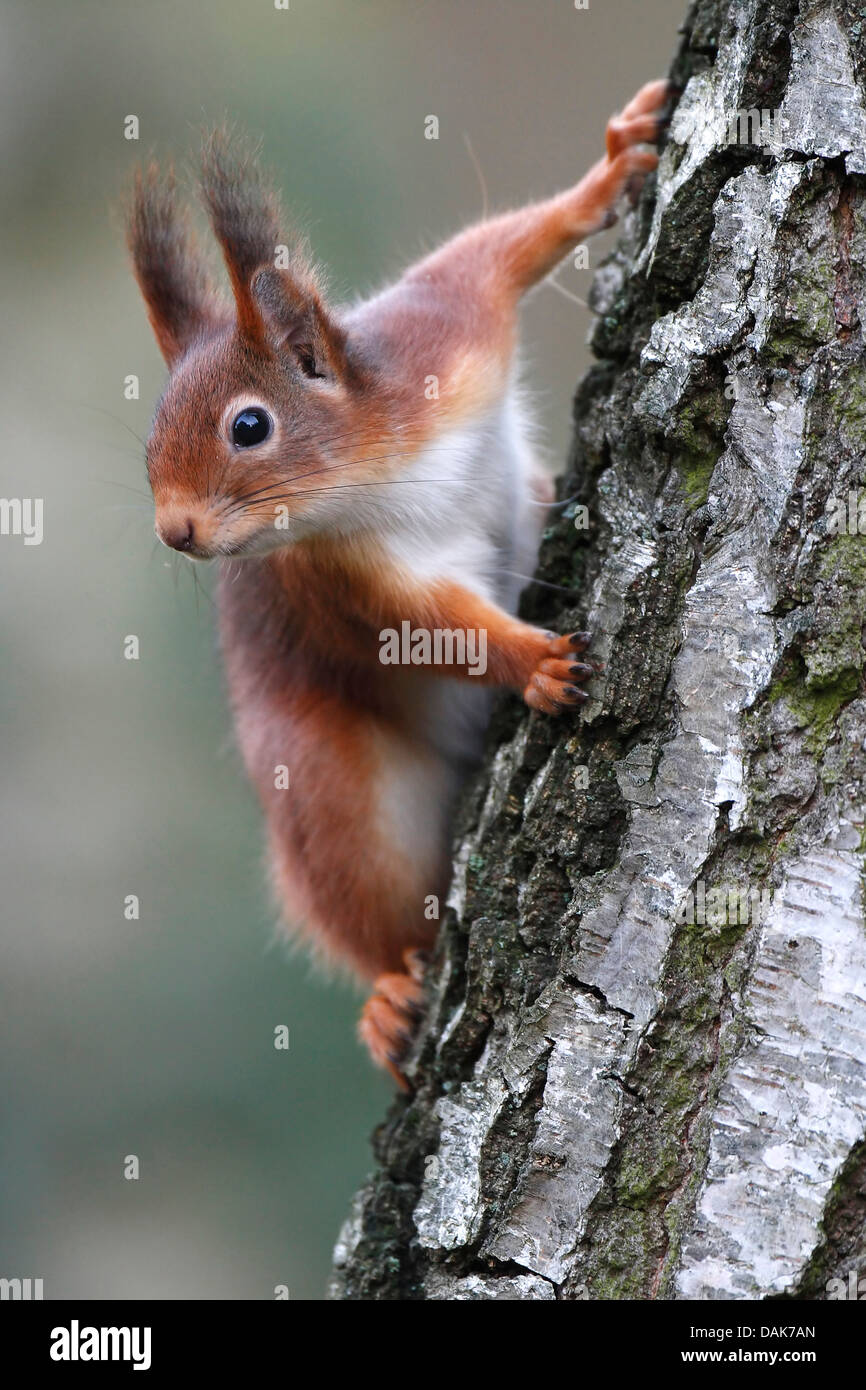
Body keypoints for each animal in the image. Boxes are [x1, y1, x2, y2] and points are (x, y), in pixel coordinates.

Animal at [127, 80, 669, 1088]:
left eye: (249, 426)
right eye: (149, 439)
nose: (175, 532)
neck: (378, 466)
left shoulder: (445, 331)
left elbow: (499, 250)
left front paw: (616, 163)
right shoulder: (349, 577)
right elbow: (436, 630)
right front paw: (535, 662)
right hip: (329, 790)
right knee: (369, 916)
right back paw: (385, 996)